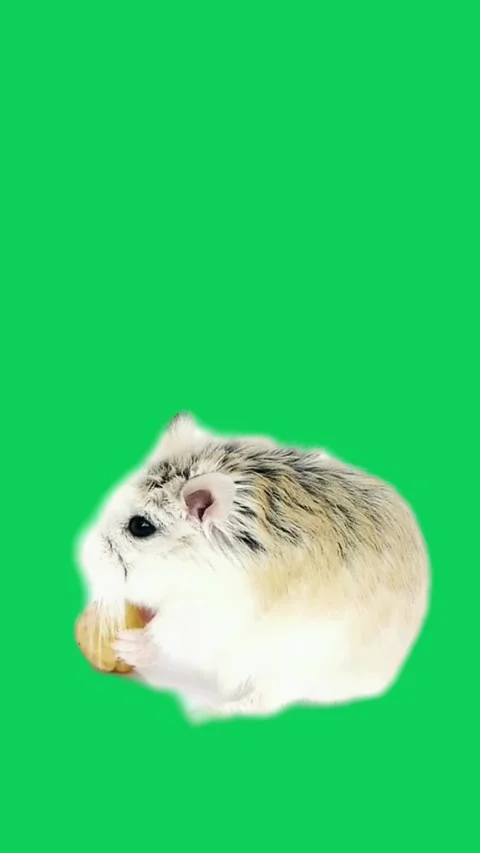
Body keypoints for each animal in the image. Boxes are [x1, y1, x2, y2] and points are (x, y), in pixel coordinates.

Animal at [77, 413, 430, 720]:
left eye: (140, 527)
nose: (83, 556)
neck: (192, 566)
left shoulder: (205, 615)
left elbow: (166, 635)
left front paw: (127, 644)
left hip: (290, 666)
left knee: (263, 703)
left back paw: (206, 713)